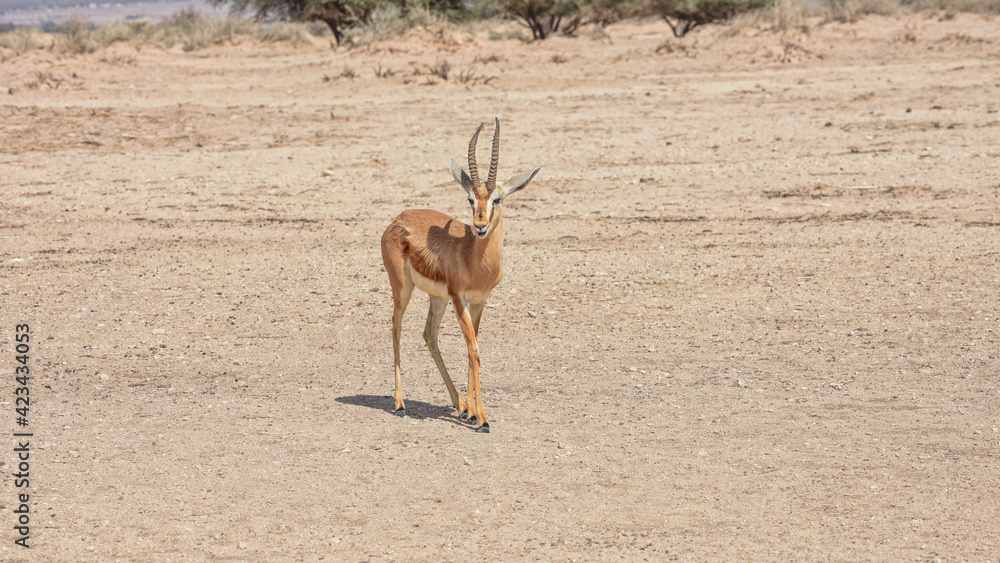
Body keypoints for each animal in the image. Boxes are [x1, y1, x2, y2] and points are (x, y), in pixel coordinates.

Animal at [380, 119, 540, 433]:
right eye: (470, 199)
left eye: (496, 199)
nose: (479, 225)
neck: (475, 262)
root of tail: (398, 219)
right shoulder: (460, 300)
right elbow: (474, 351)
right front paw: (484, 420)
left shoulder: (478, 302)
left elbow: (471, 351)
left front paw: (473, 413)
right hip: (402, 288)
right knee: (395, 327)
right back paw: (400, 405)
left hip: (437, 299)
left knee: (429, 334)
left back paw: (460, 406)